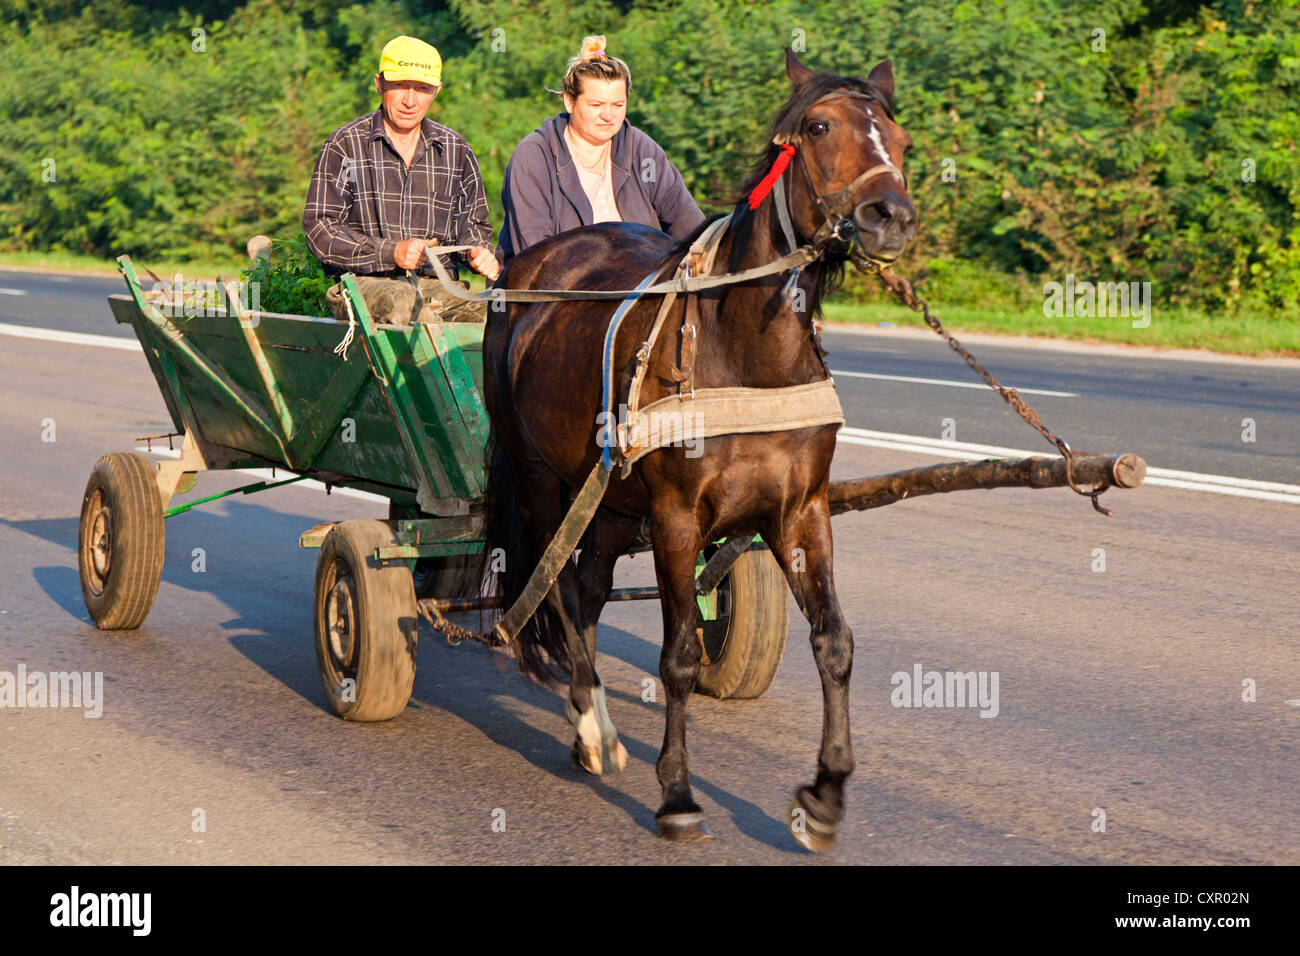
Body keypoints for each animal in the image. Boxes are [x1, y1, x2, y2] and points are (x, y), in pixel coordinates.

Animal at [478, 49, 917, 849]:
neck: (744, 350)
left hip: (609, 500)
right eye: (818, 127)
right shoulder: (678, 518)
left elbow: (834, 642)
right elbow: (678, 654)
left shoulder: (800, 512)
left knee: (588, 590)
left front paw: (824, 795)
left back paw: (588, 717)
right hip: (542, 481)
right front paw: (678, 794)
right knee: (558, 588)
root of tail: (530, 271)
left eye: (899, 139)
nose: (890, 216)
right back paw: (592, 721)